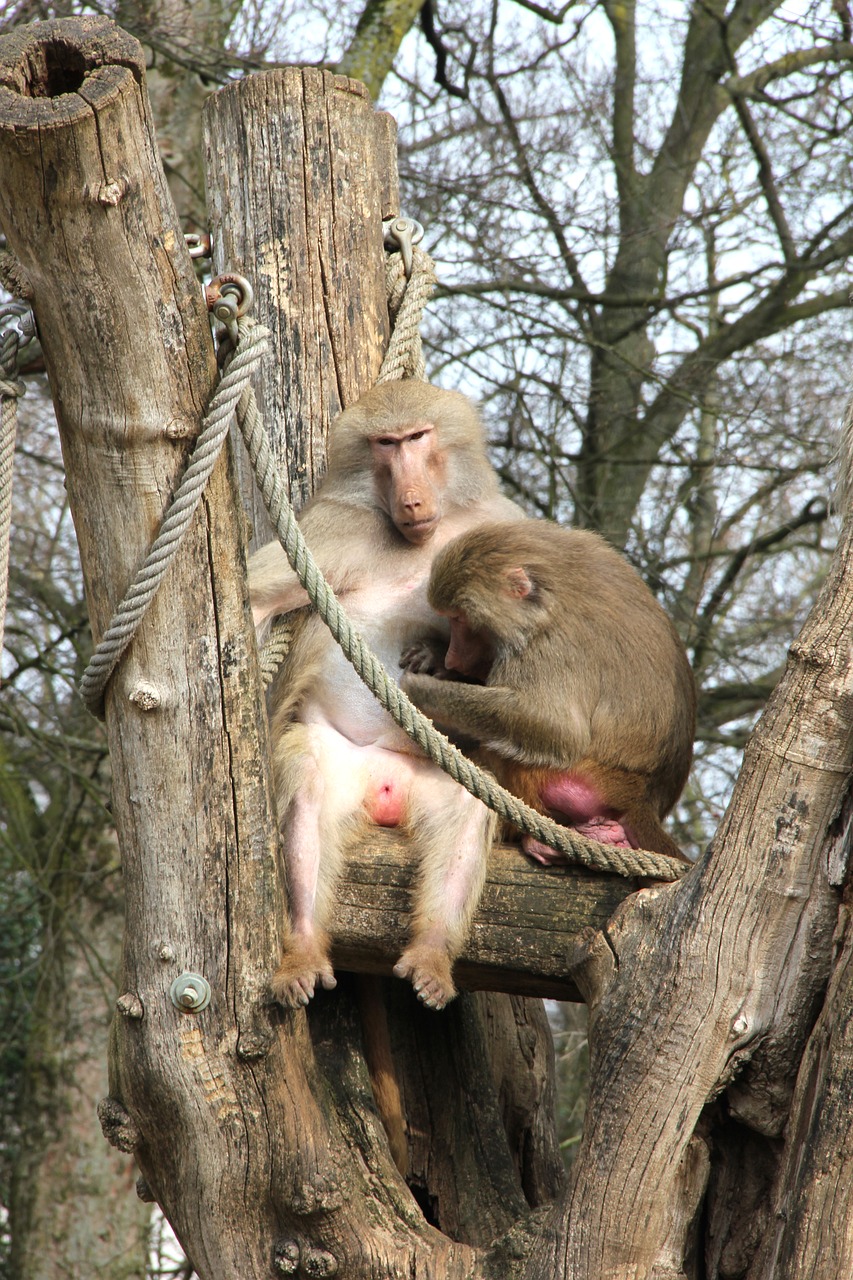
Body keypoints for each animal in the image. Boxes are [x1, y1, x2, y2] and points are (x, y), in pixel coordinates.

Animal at [249, 381, 525, 1018]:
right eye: (385, 445)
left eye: (418, 437)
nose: (413, 500)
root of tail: (385, 789)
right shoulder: (328, 530)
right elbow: (251, 601)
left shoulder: (502, 524)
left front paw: (434, 658)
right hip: (340, 764)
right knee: (305, 788)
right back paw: (303, 950)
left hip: (429, 779)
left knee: (469, 806)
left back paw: (430, 957)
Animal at [399, 519, 696, 865]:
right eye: (451, 619)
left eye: (461, 619)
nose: (452, 659)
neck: (551, 589)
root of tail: (643, 798)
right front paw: (432, 655)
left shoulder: (552, 645)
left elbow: (557, 729)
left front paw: (421, 690)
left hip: (576, 776)